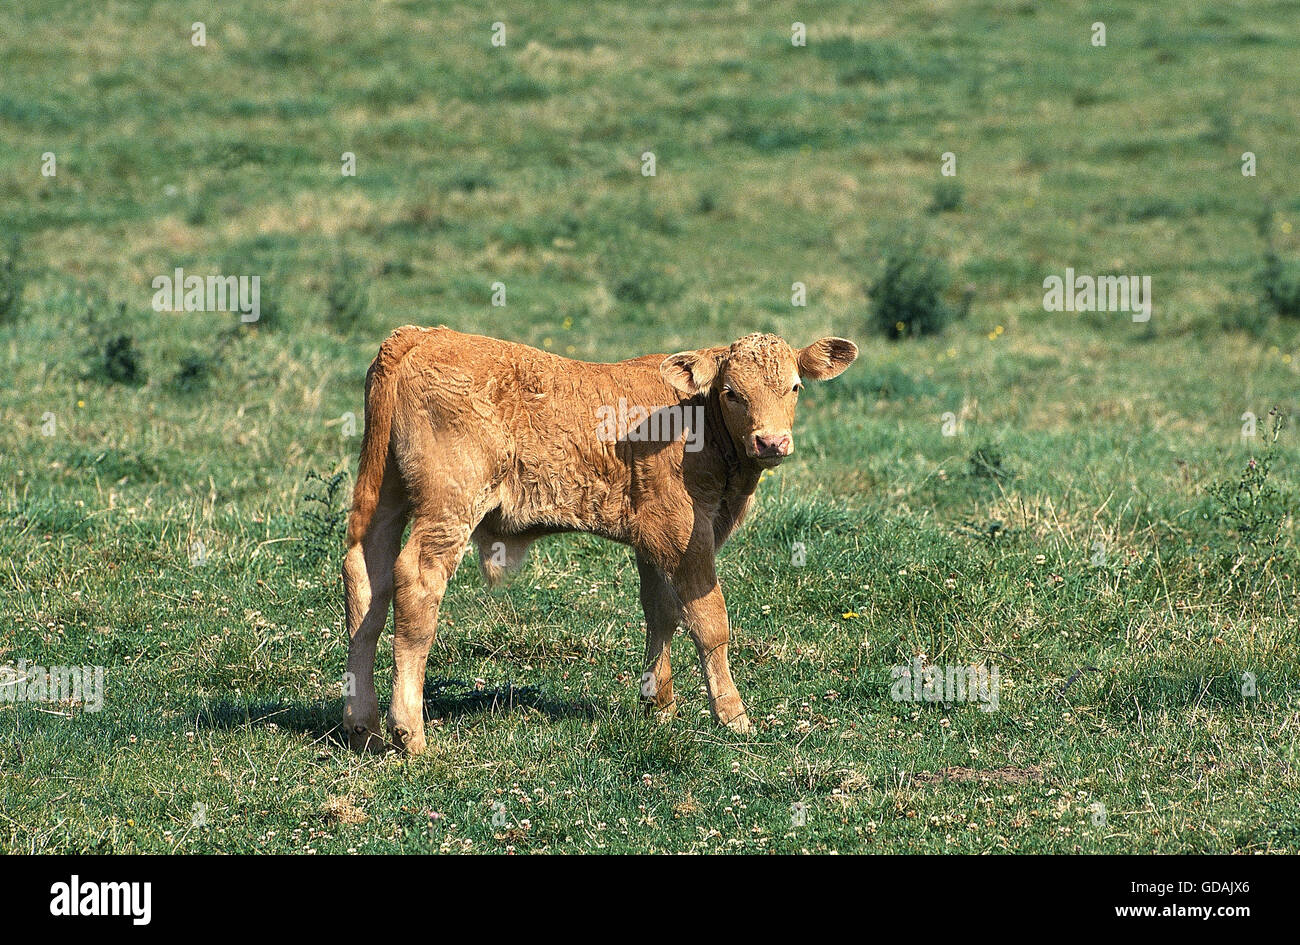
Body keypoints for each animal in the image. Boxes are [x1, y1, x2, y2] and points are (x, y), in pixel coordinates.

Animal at [342, 326, 858, 754]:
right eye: (732, 392)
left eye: (795, 387)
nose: (772, 442)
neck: (697, 422)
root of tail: (422, 334)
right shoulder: (683, 533)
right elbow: (709, 621)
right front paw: (733, 717)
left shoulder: (654, 539)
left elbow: (662, 613)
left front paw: (659, 705)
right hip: (449, 504)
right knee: (416, 582)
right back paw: (409, 730)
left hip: (384, 496)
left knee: (365, 578)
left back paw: (362, 724)